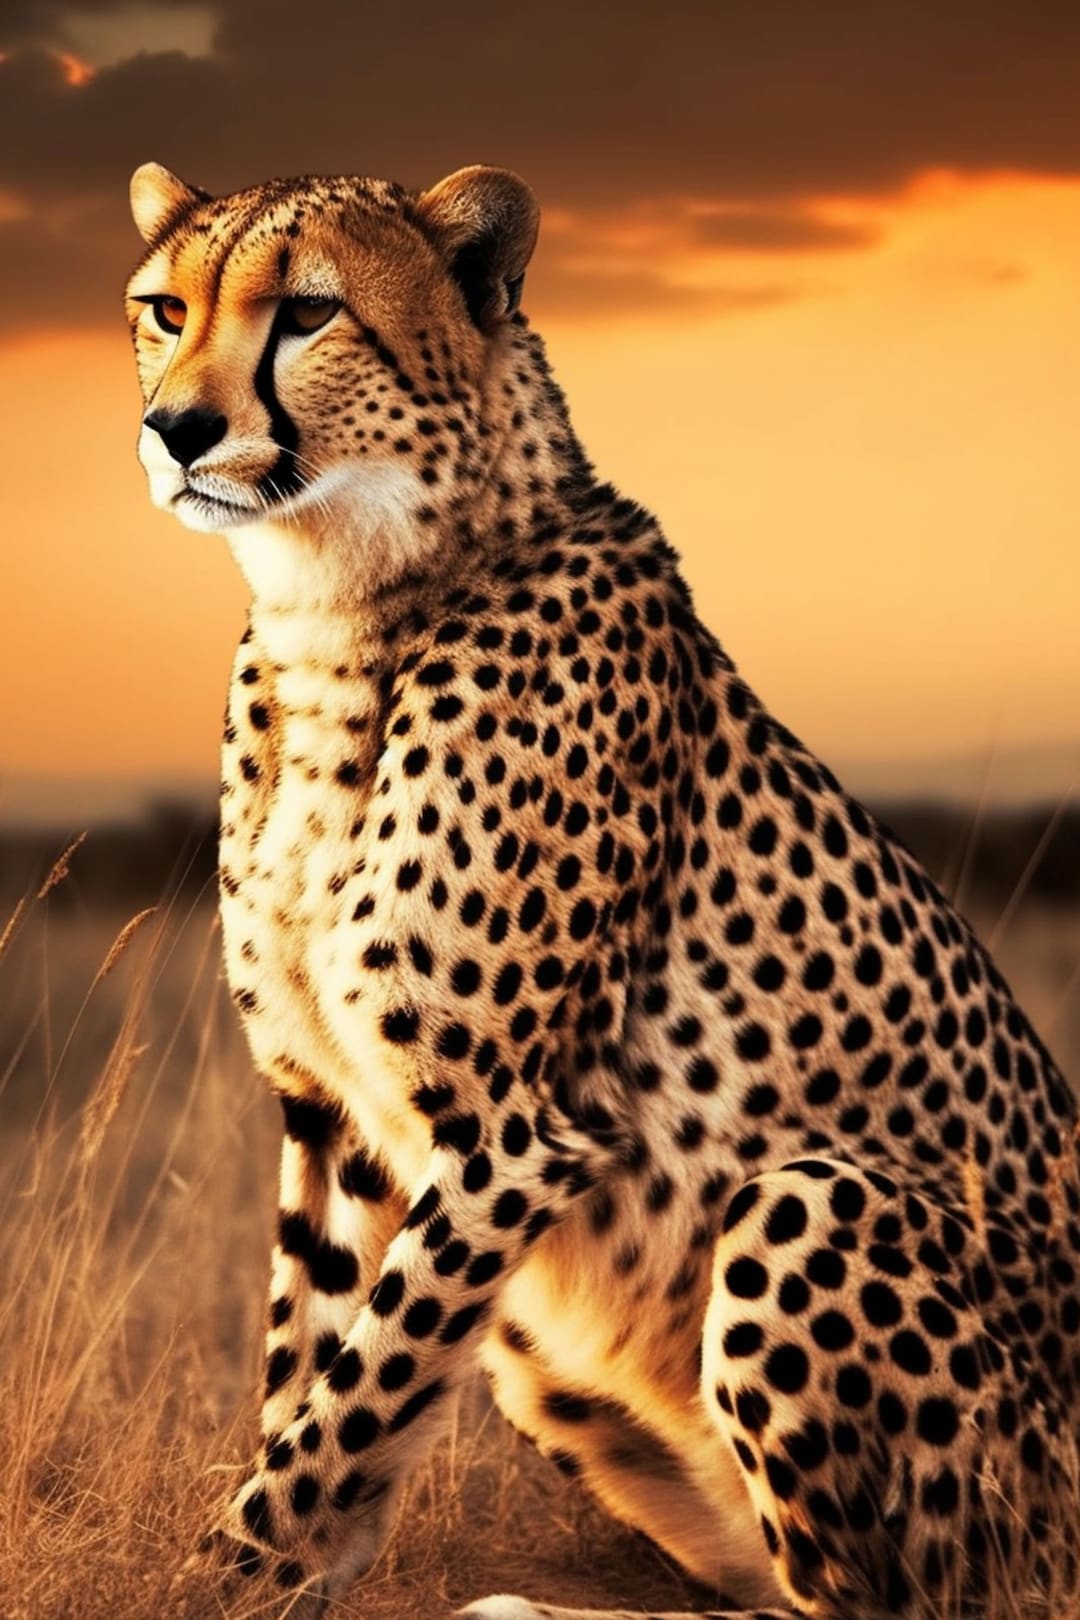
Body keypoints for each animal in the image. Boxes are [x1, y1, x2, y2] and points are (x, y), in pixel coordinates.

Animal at [125, 158, 1080, 1620]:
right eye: (165, 310)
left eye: (306, 312)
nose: (175, 430)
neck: (338, 610)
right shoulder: (329, 1111)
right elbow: (312, 1370)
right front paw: (269, 1574)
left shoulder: (514, 1133)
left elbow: (353, 1396)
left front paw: (225, 1571)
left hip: (805, 1212)